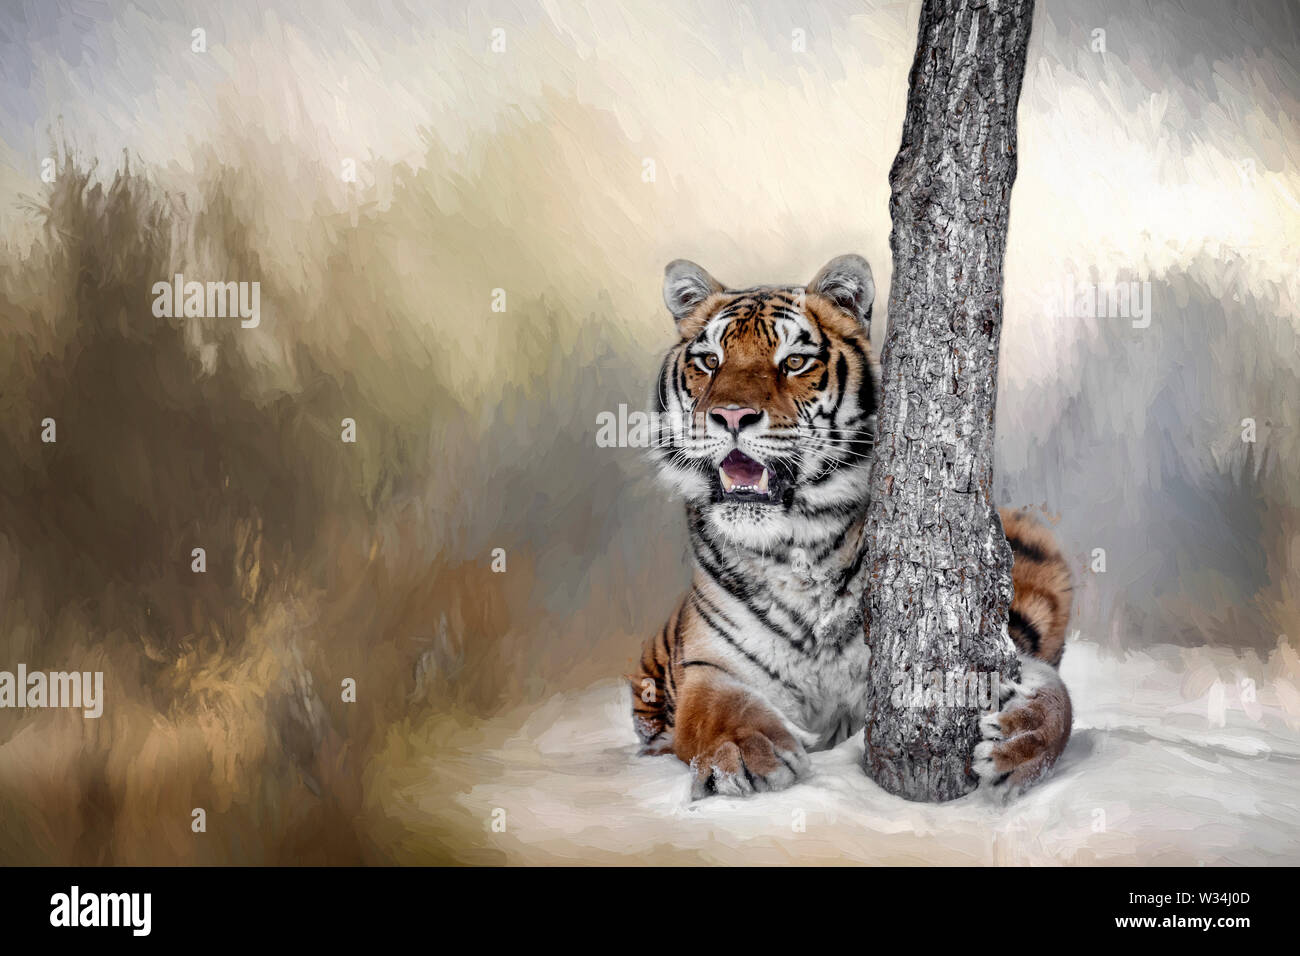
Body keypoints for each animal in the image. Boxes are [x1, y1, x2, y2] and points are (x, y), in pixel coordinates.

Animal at [630, 254, 1074, 799]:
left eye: (794, 362)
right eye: (710, 361)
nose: (731, 416)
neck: (794, 548)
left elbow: (1058, 698)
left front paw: (1020, 739)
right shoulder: (708, 664)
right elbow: (715, 709)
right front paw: (750, 749)